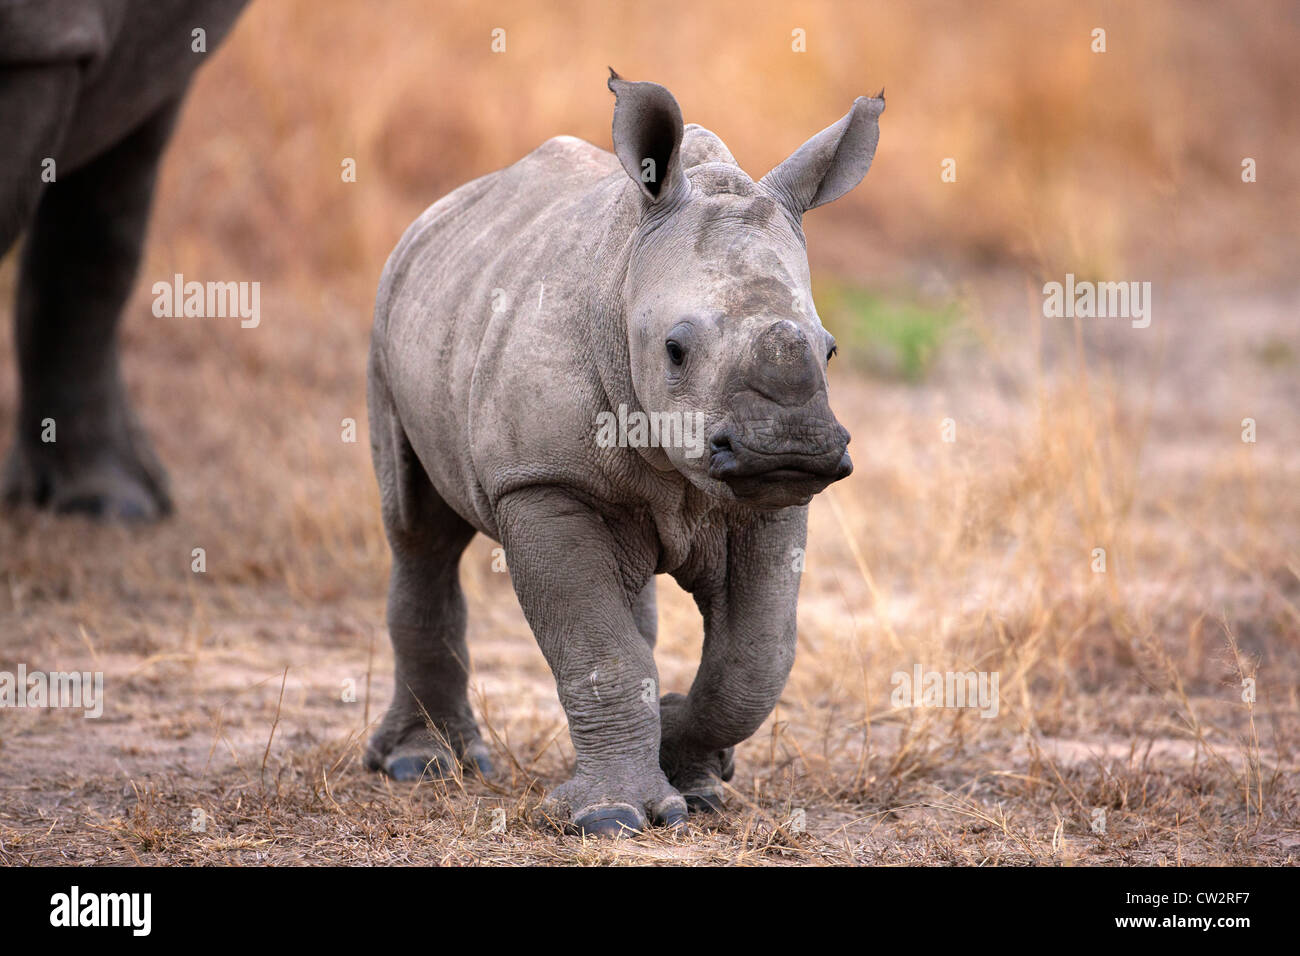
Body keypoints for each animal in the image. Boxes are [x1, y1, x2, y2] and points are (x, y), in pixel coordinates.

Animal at [371, 70, 889, 832]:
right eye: (674, 350)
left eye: (829, 350)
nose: (789, 448)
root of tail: (445, 207)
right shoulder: (543, 481)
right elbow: (598, 649)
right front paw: (609, 817)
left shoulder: (770, 502)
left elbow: (755, 661)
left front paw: (691, 770)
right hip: (390, 306)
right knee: (418, 530)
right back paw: (421, 767)